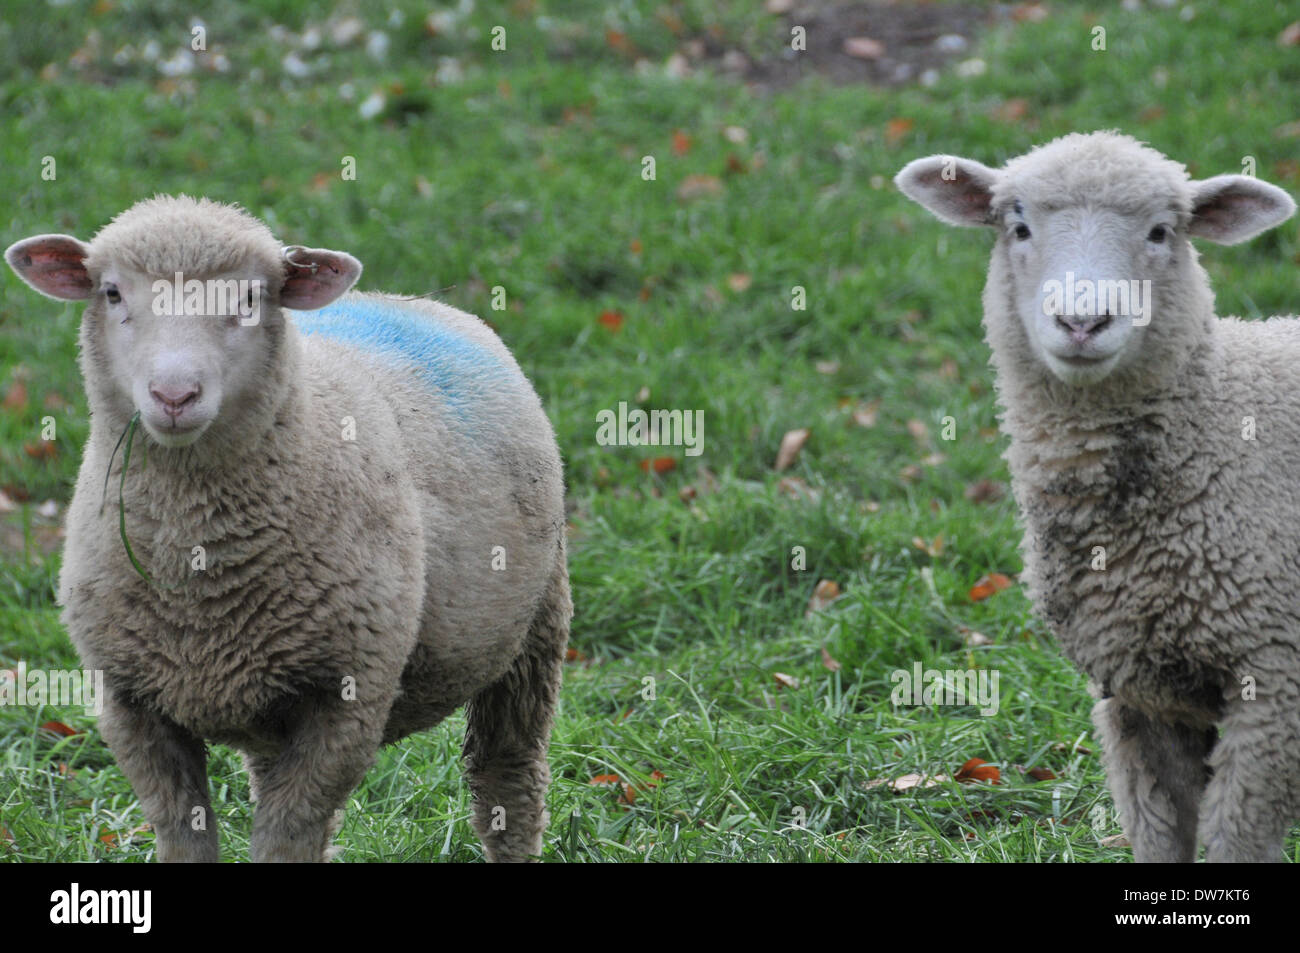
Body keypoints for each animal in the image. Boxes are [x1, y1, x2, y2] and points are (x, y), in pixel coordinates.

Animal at [4, 195, 571, 862]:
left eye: (252, 298)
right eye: (112, 292)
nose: (175, 394)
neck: (197, 577)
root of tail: (408, 299)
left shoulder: (347, 697)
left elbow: (287, 836)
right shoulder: (131, 702)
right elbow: (184, 831)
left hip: (535, 631)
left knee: (507, 779)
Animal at [895, 131, 1300, 862]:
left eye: (1162, 231)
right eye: (1018, 226)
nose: (1082, 321)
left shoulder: (1278, 683)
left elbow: (1235, 838)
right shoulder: (1139, 695)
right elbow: (1162, 830)